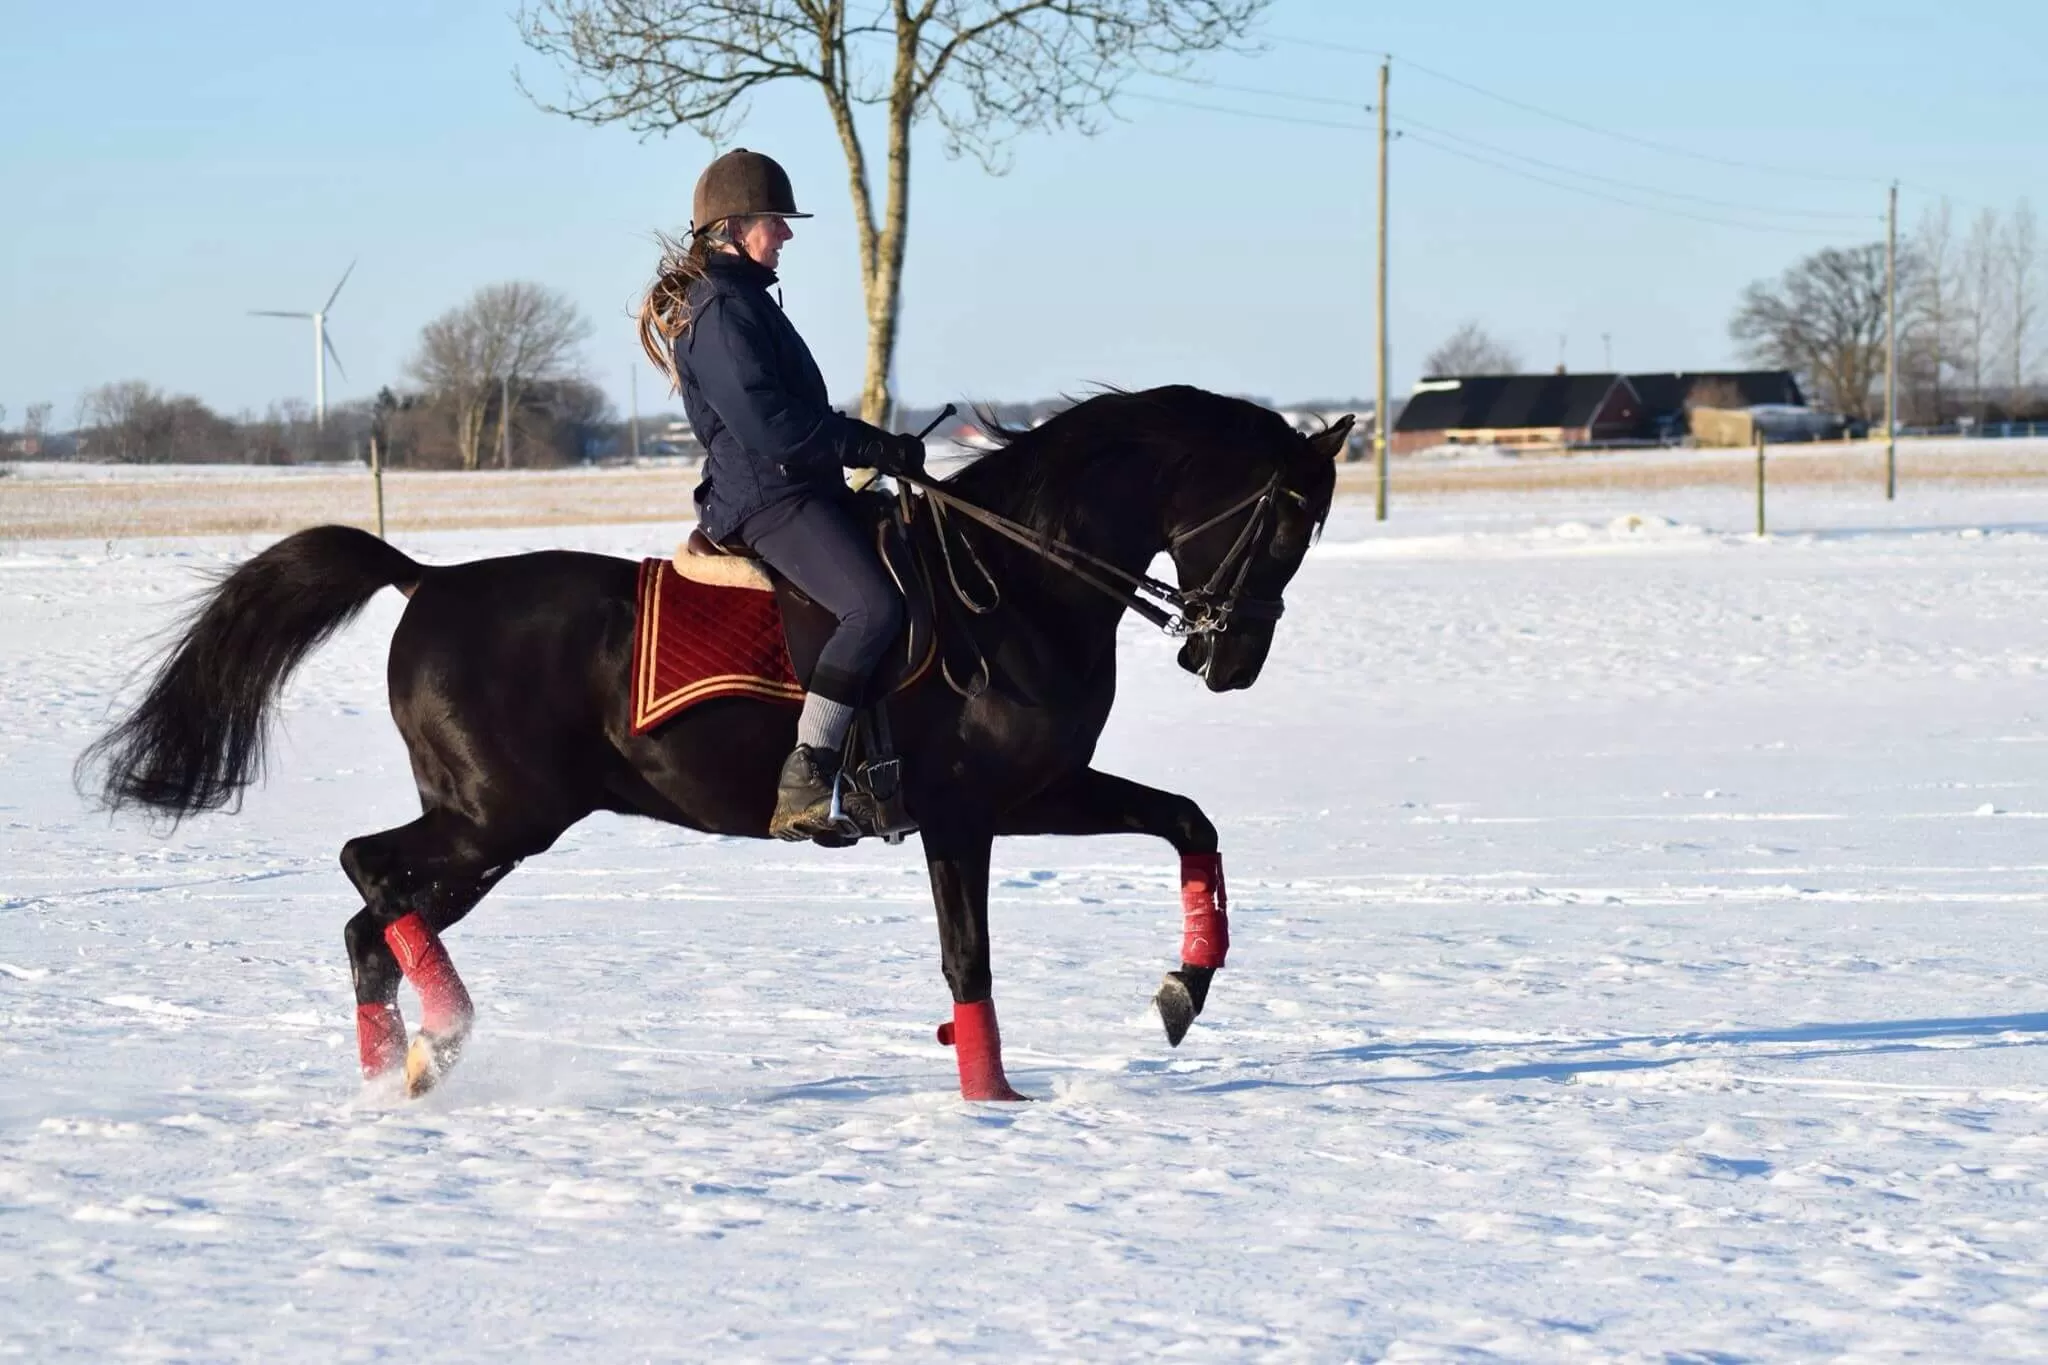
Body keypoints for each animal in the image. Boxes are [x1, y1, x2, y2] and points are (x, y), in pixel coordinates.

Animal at [88, 384, 1351, 1096]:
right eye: (1287, 519)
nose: (1231, 661)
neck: (1015, 581)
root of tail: (427, 579)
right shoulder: (964, 812)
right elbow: (968, 957)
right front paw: (993, 1098)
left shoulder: (1036, 791)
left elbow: (1186, 820)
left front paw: (1184, 987)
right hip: (498, 817)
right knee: (369, 874)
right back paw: (438, 1035)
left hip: (490, 827)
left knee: (371, 916)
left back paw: (400, 1071)